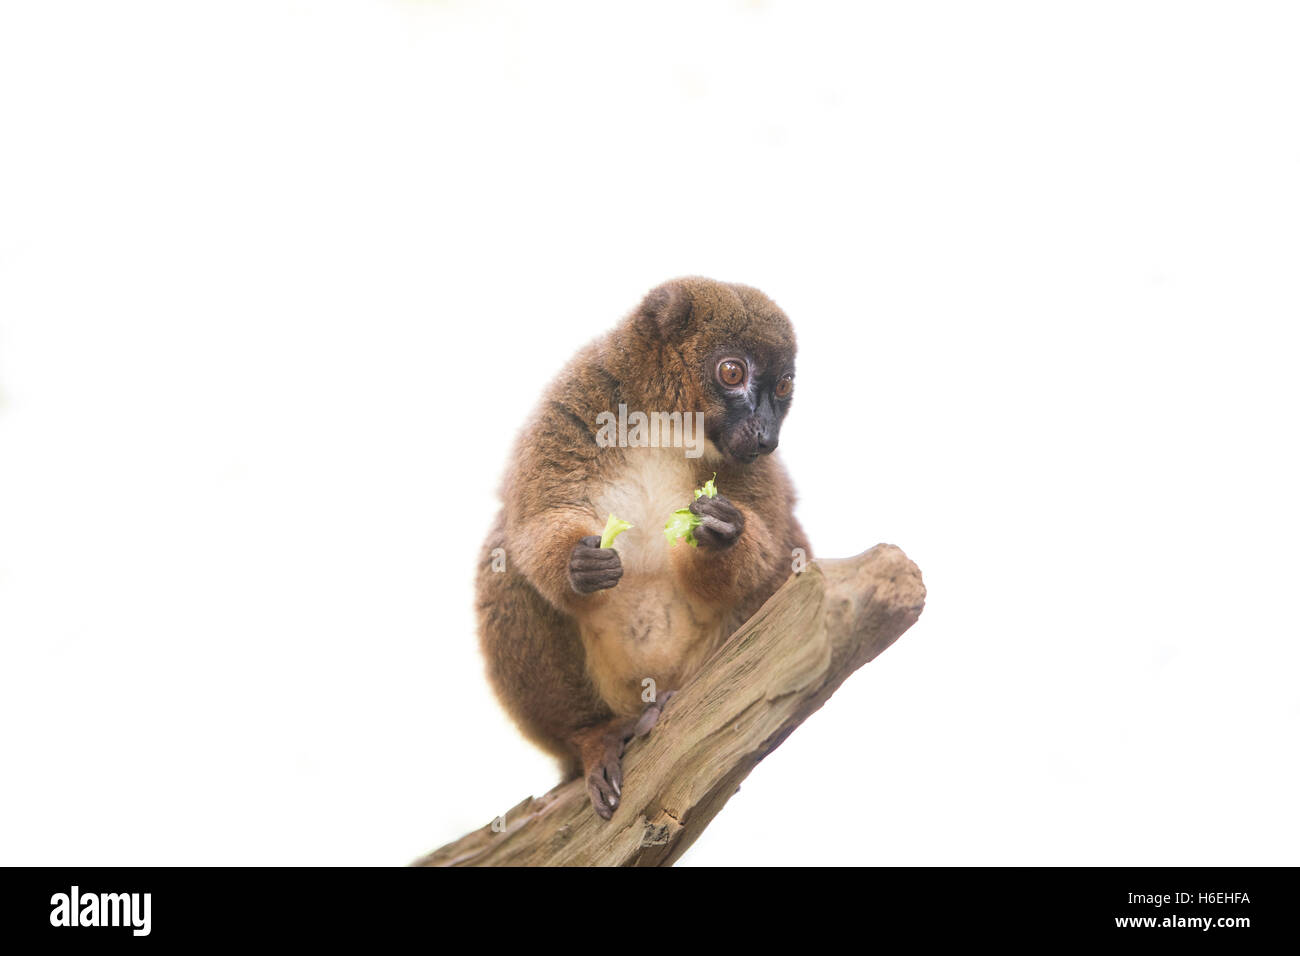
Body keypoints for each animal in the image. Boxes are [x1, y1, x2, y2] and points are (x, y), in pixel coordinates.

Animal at [475, 276, 810, 819]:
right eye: (732, 372)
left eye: (783, 386)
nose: (765, 434)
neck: (667, 424)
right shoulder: (574, 399)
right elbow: (533, 521)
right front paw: (578, 565)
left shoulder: (754, 467)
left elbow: (765, 544)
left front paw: (721, 534)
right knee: (503, 559)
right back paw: (594, 736)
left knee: (789, 555)